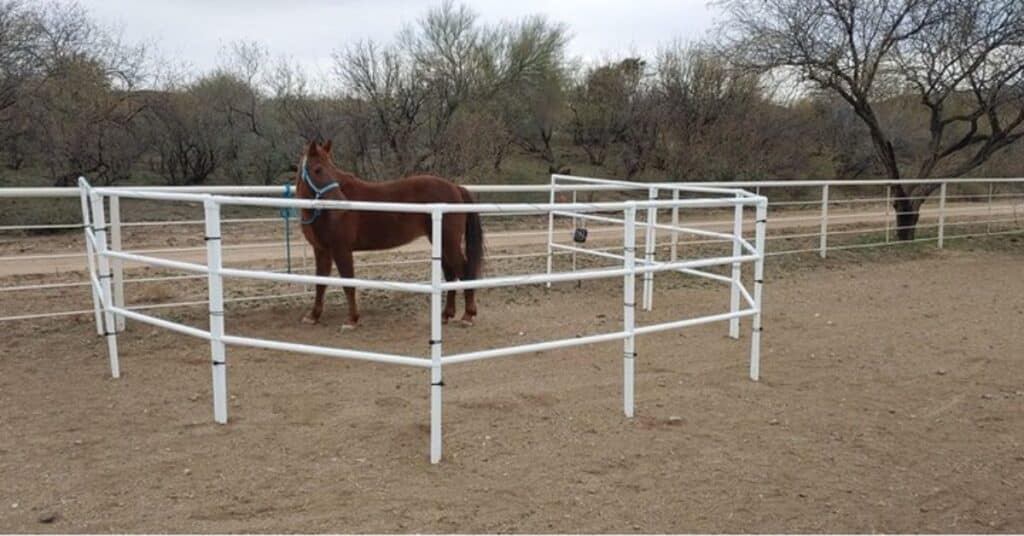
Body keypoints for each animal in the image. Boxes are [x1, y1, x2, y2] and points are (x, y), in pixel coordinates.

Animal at [294, 140, 484, 329]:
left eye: (332, 169)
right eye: (317, 169)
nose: (341, 203)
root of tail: (456, 187)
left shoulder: (341, 250)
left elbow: (348, 284)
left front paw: (352, 320)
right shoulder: (322, 250)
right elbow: (320, 283)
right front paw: (313, 316)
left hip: (449, 242)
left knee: (464, 273)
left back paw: (467, 315)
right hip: (440, 242)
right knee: (451, 274)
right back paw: (446, 315)